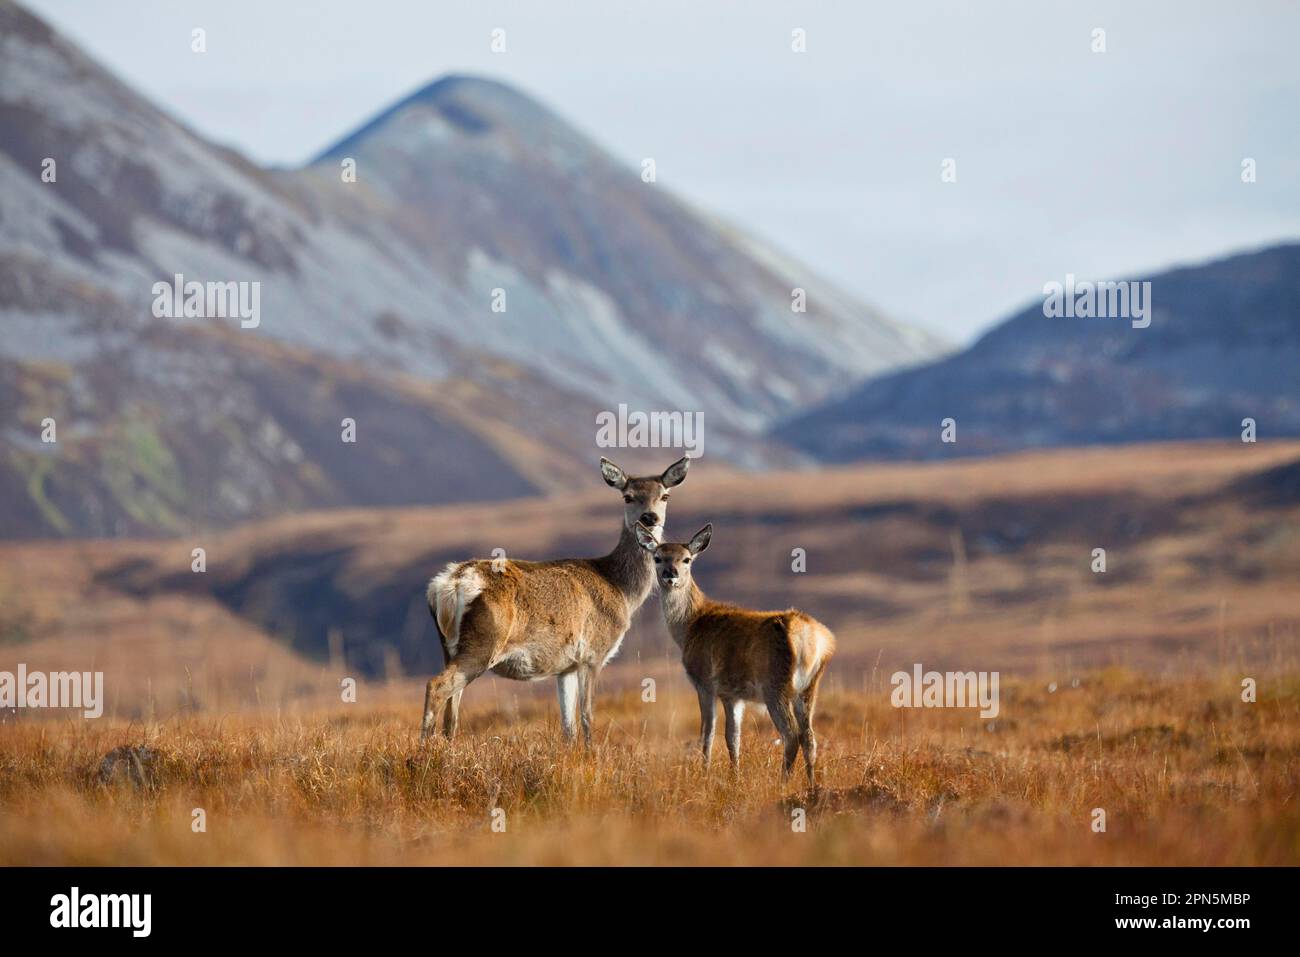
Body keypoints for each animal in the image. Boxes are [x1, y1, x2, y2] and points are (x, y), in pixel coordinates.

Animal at [421, 455, 690, 745]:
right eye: (627, 496)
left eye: (665, 495)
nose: (649, 518)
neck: (621, 589)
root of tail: (447, 585)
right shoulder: (593, 652)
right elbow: (587, 716)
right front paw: (590, 753)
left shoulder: (566, 666)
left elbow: (568, 725)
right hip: (484, 642)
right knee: (437, 686)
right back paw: (424, 749)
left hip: (447, 646)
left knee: (452, 707)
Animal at [635, 522, 835, 783]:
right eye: (658, 558)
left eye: (687, 559)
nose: (671, 574)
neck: (689, 626)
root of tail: (812, 639)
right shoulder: (733, 694)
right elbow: (733, 738)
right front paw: (735, 775)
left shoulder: (706, 682)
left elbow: (708, 733)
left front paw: (706, 773)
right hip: (810, 687)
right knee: (809, 737)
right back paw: (812, 784)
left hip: (775, 684)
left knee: (791, 734)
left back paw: (783, 782)